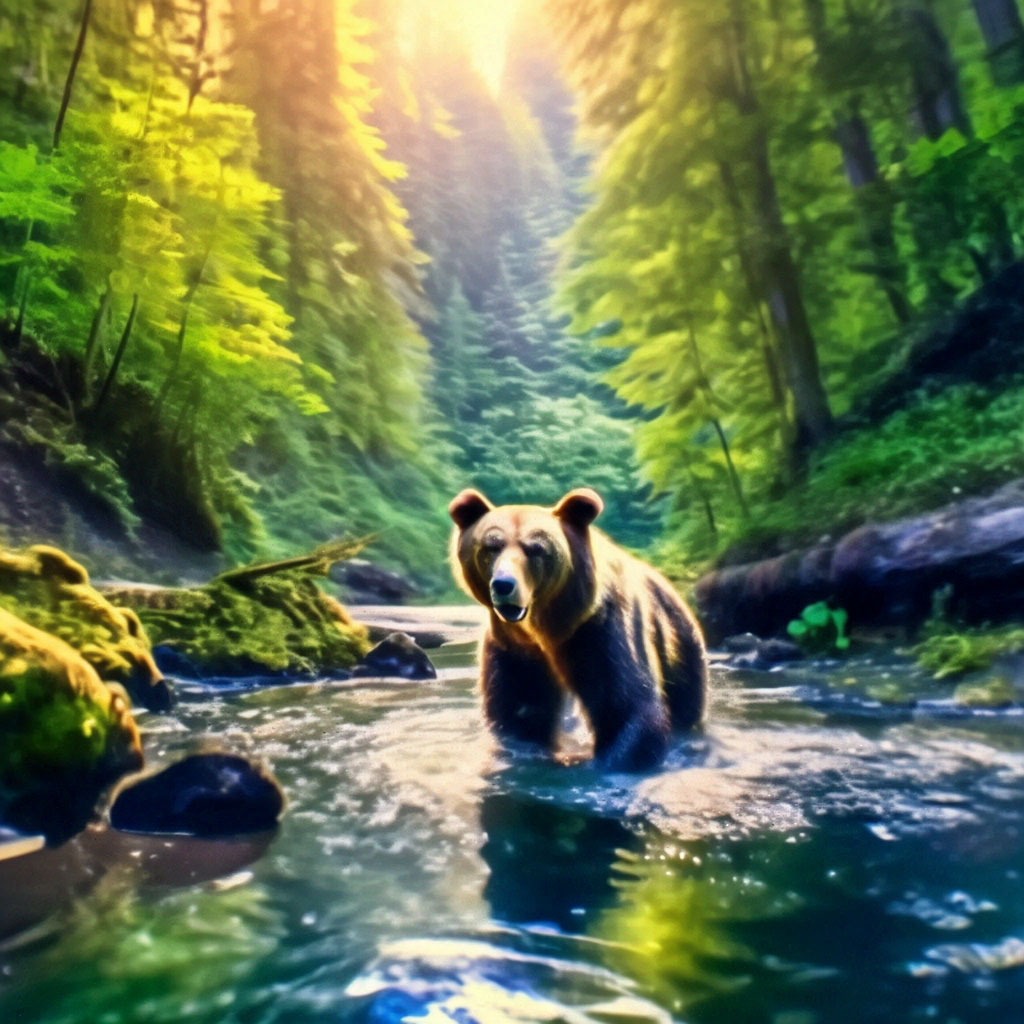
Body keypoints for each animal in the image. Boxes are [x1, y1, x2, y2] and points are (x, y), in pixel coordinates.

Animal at [449, 486, 708, 771]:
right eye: (491, 546)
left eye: (536, 549)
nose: (504, 584)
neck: (548, 628)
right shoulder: (513, 648)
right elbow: (517, 710)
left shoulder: (601, 631)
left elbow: (626, 707)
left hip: (682, 654)